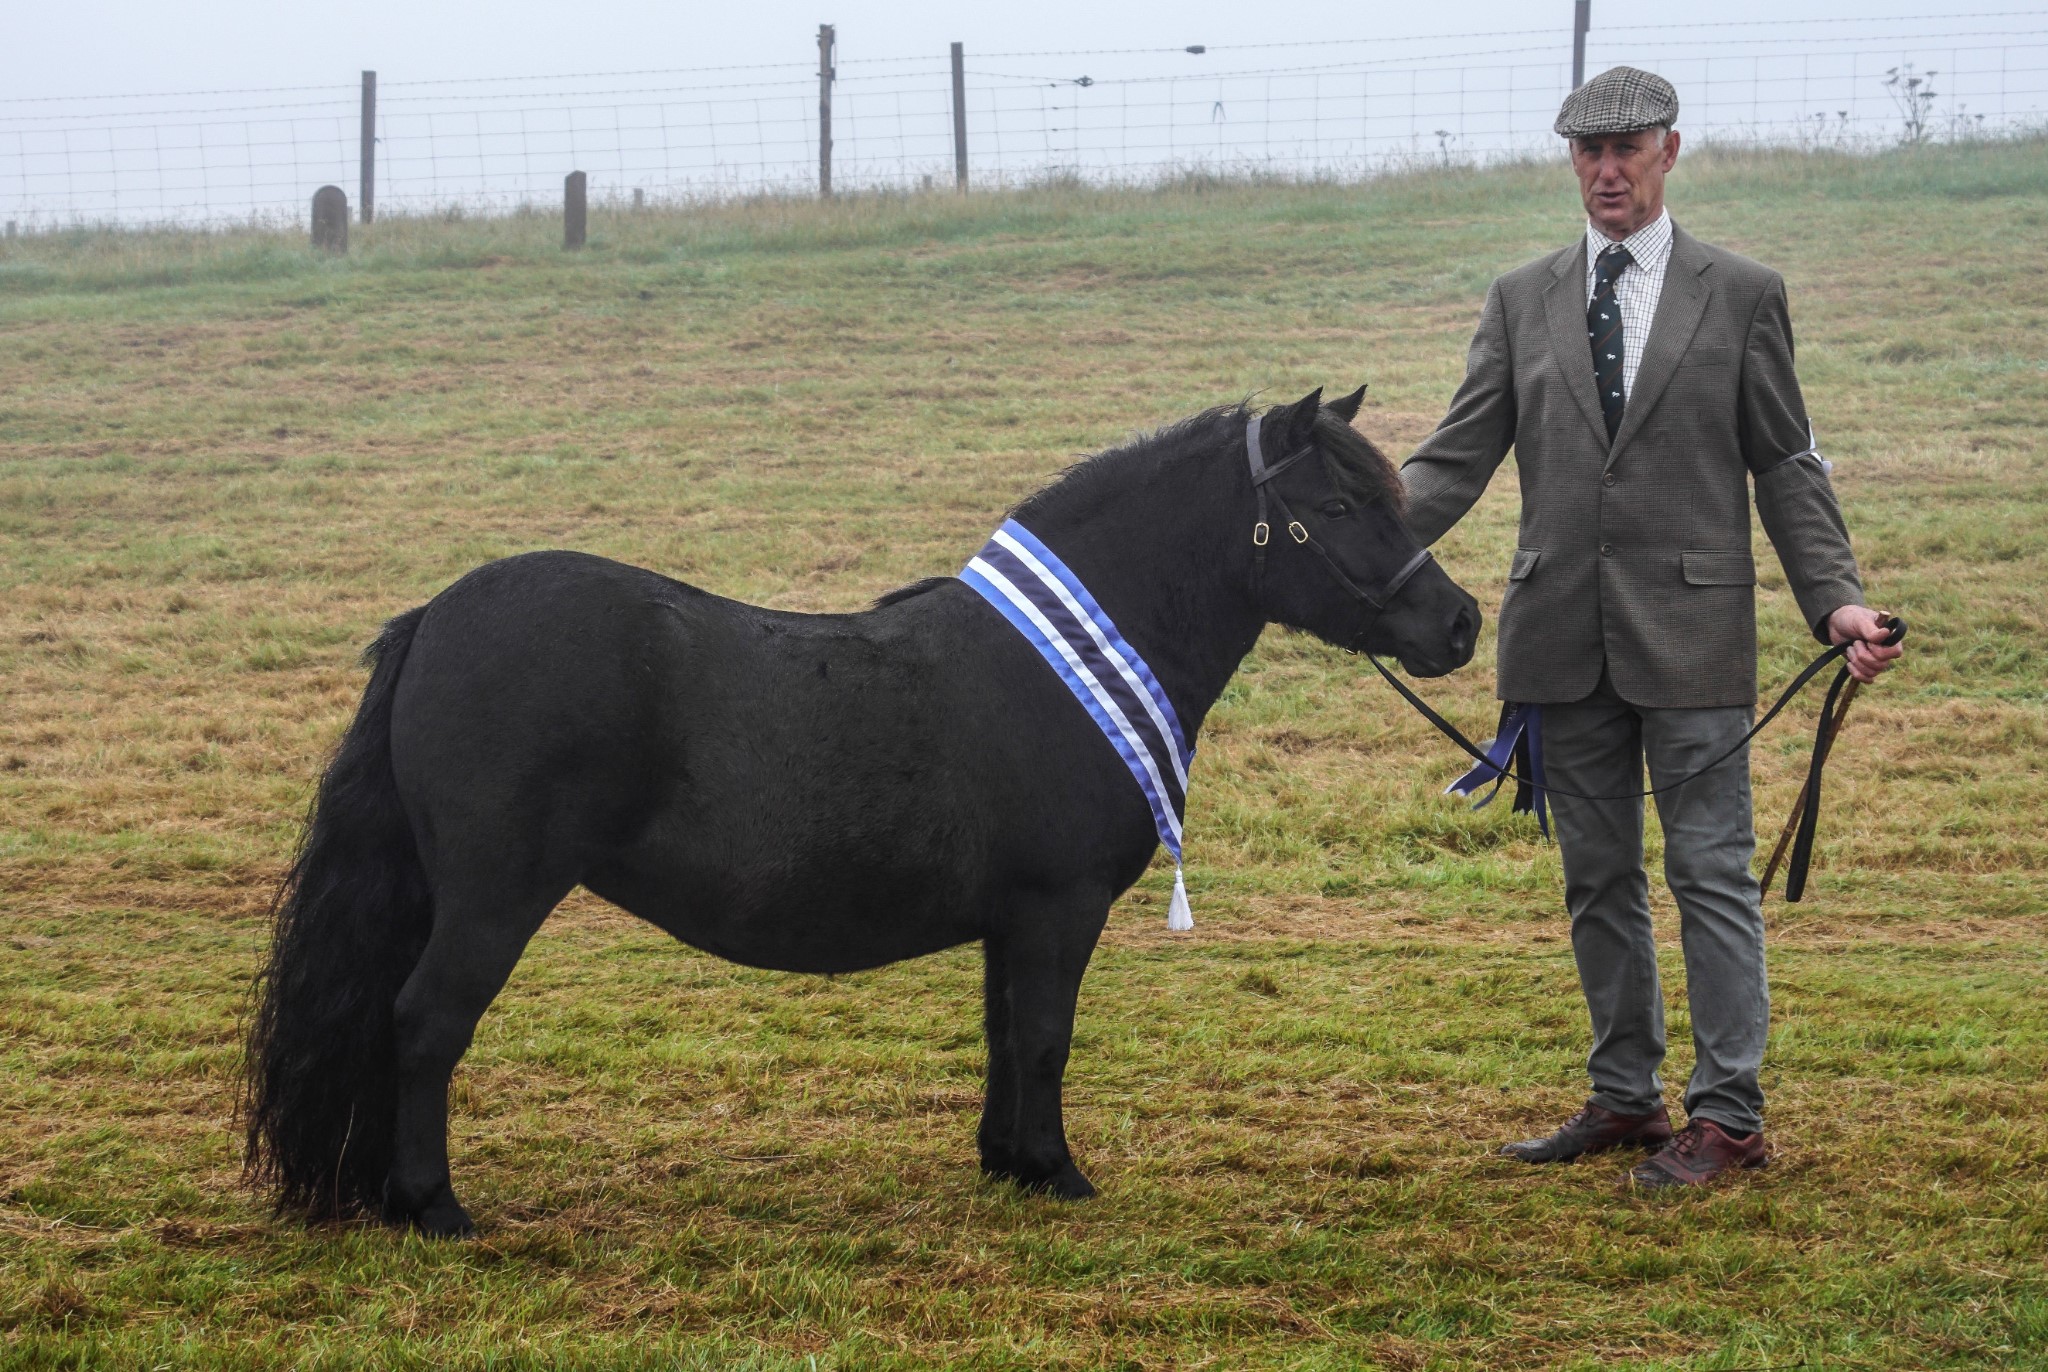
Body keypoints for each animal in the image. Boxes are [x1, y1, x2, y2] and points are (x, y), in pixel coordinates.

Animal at [242, 386, 1481, 1236]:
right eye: (1337, 505)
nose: (1458, 623)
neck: (1065, 660)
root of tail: (432, 619)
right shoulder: (1059, 906)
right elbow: (1046, 1034)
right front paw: (1060, 1173)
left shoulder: (1013, 920)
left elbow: (1004, 1033)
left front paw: (1008, 1161)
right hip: (492, 899)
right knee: (424, 1023)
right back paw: (433, 1207)